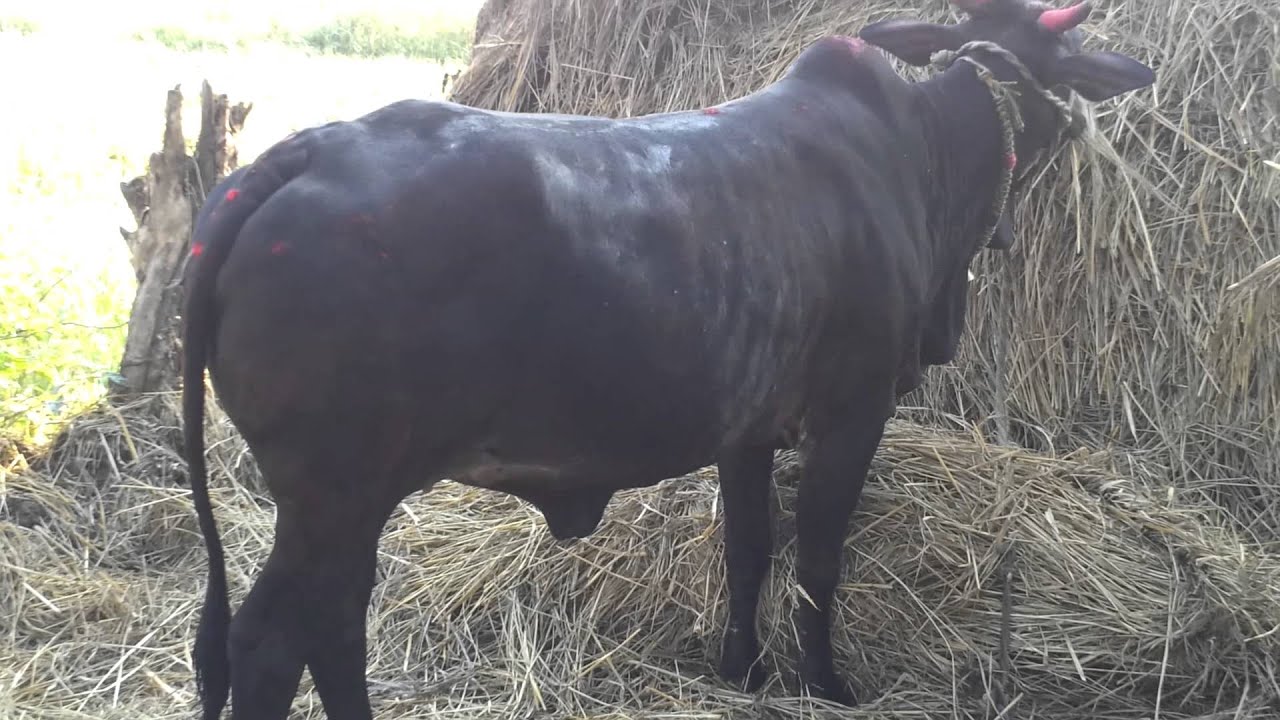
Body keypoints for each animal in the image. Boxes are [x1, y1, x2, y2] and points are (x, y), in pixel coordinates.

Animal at [180, 1, 1154, 717]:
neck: (922, 151)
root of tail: (301, 153)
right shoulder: (854, 408)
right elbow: (816, 558)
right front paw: (826, 685)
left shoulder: (748, 427)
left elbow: (750, 549)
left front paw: (741, 669)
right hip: (334, 495)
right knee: (275, 644)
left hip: (341, 506)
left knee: (325, 629)